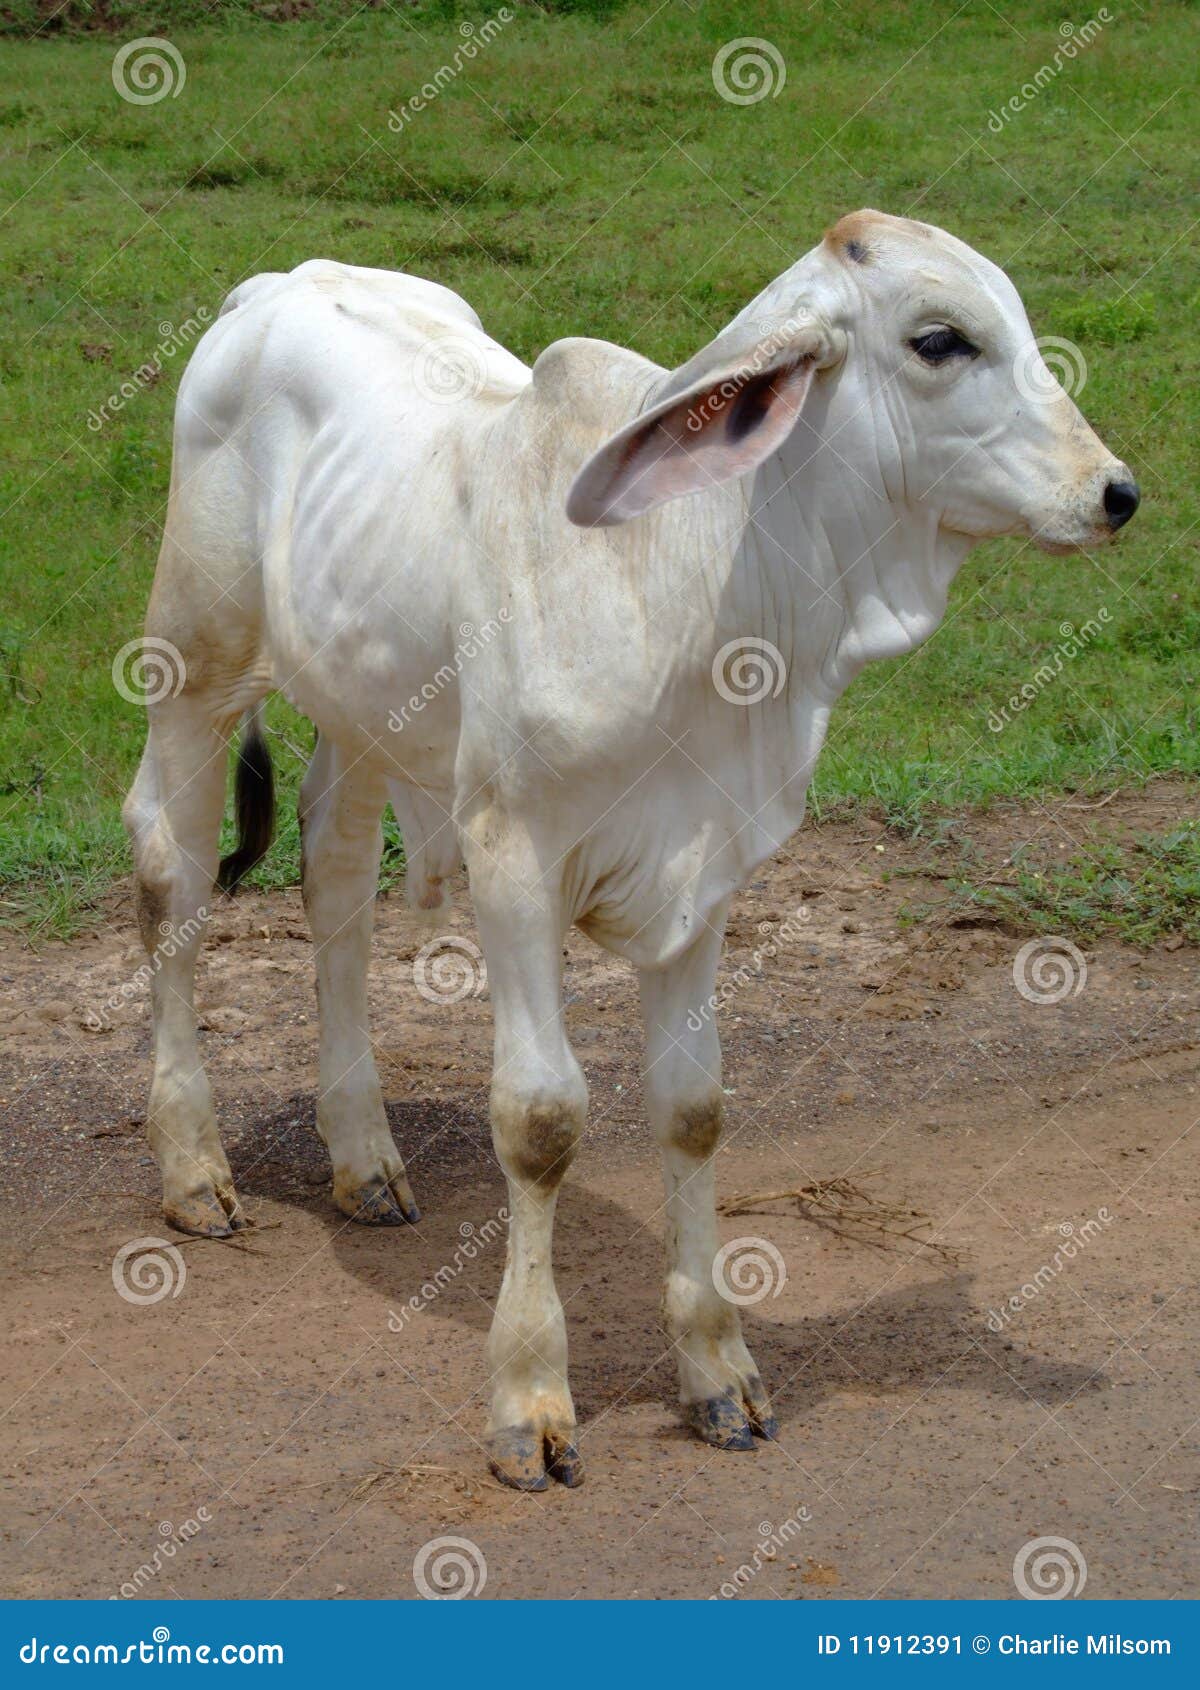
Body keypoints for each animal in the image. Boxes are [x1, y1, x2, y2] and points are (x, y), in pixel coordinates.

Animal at [124, 210, 1139, 1490]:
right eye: (940, 339)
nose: (1115, 491)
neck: (704, 588)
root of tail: (279, 282)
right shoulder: (512, 853)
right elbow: (542, 1118)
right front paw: (529, 1396)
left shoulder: (707, 871)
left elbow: (692, 1105)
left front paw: (717, 1370)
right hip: (196, 660)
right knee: (172, 871)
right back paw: (194, 1170)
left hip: (361, 702)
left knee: (336, 872)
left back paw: (362, 1156)